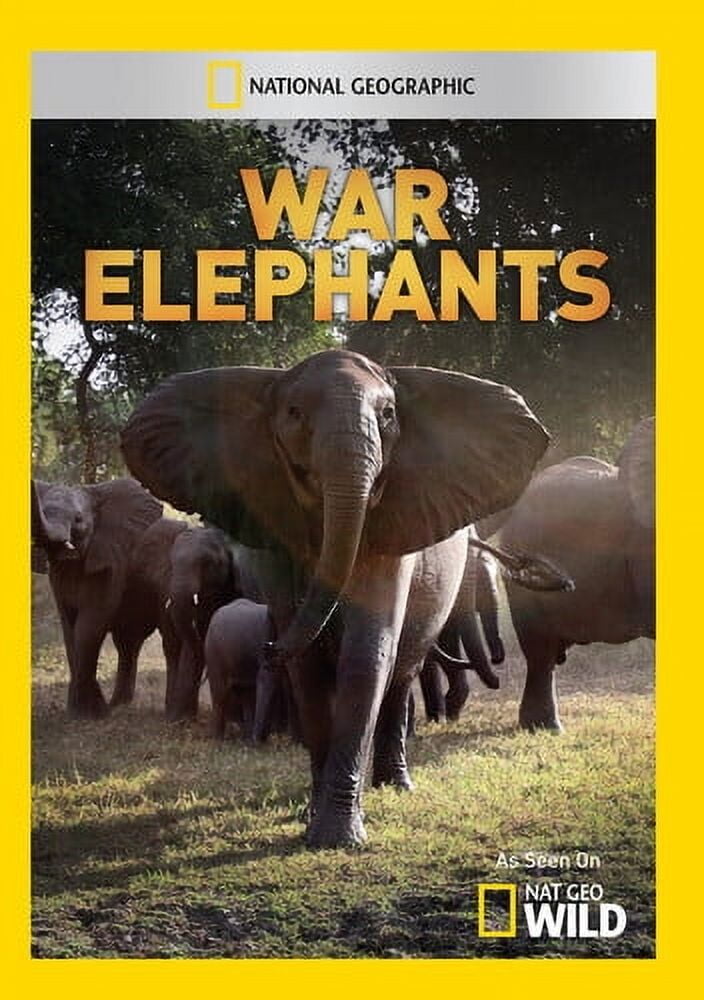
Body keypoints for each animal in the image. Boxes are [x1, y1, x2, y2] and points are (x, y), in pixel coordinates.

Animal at [31, 477, 162, 717]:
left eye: (78, 519)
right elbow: (69, 627)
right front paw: (79, 712)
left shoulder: (112, 563)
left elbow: (90, 624)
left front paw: (92, 714)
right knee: (128, 641)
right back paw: (119, 706)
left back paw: (116, 708)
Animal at [205, 598, 289, 741]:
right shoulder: (266, 636)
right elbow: (267, 679)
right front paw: (259, 740)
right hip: (214, 652)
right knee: (220, 694)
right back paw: (219, 740)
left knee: (246, 694)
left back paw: (246, 738)